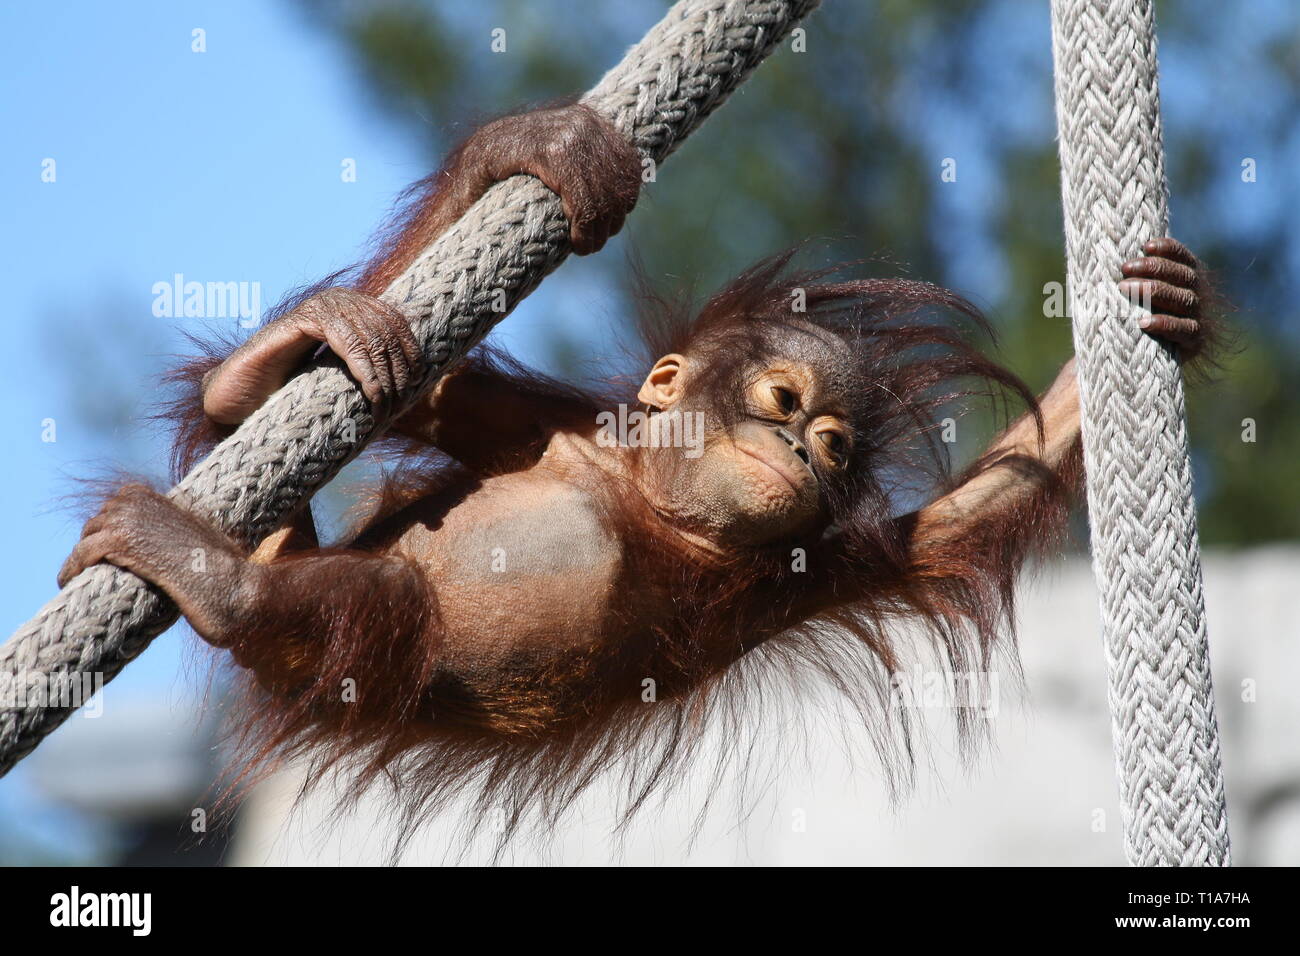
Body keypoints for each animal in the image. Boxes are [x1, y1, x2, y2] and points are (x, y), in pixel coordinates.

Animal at [58, 102, 1216, 844]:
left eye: (836, 446)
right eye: (784, 401)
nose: (799, 451)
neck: (643, 499)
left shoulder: (799, 566)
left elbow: (967, 516)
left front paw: (1170, 311)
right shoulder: (543, 425)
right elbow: (429, 391)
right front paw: (524, 151)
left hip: (338, 667)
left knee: (368, 606)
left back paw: (219, 577)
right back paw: (265, 370)